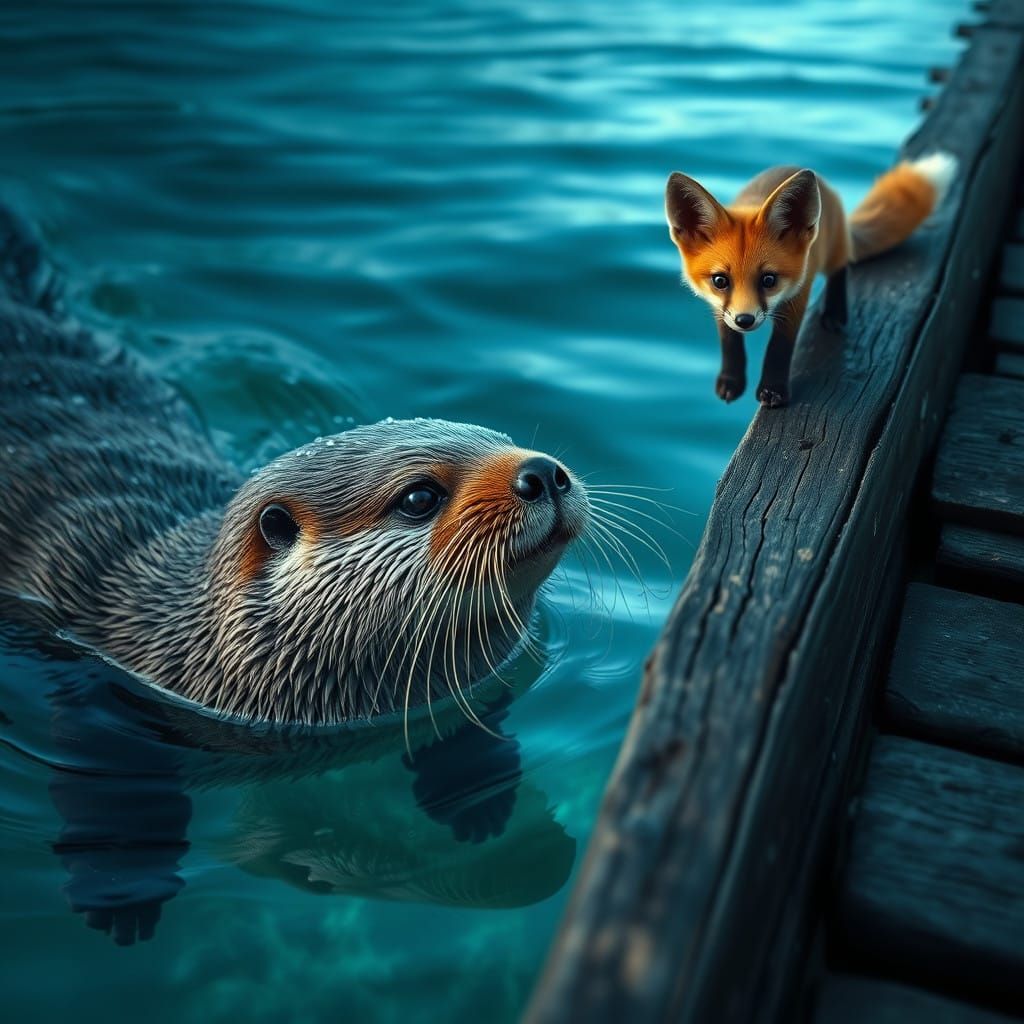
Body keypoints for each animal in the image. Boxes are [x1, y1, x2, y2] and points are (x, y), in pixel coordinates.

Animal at [664, 152, 957, 408]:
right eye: (720, 281)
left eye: (768, 280)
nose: (745, 320)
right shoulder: (720, 308)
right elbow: (729, 342)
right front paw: (731, 381)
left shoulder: (798, 294)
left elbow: (780, 346)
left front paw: (773, 390)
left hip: (834, 250)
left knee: (842, 266)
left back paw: (835, 313)